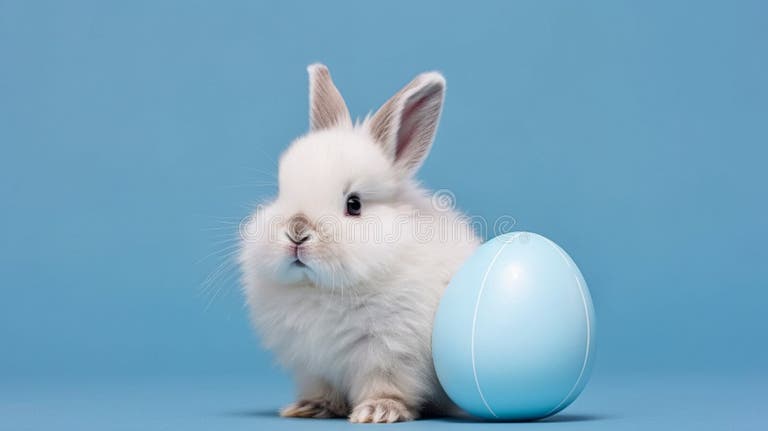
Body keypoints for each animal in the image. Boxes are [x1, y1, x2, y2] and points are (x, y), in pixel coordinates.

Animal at [239, 64, 480, 423]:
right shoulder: (312, 363)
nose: (297, 231)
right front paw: (311, 407)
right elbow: (324, 388)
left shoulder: (390, 350)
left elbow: (386, 384)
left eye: (354, 204)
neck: (321, 289)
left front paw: (379, 411)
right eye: (282, 192)